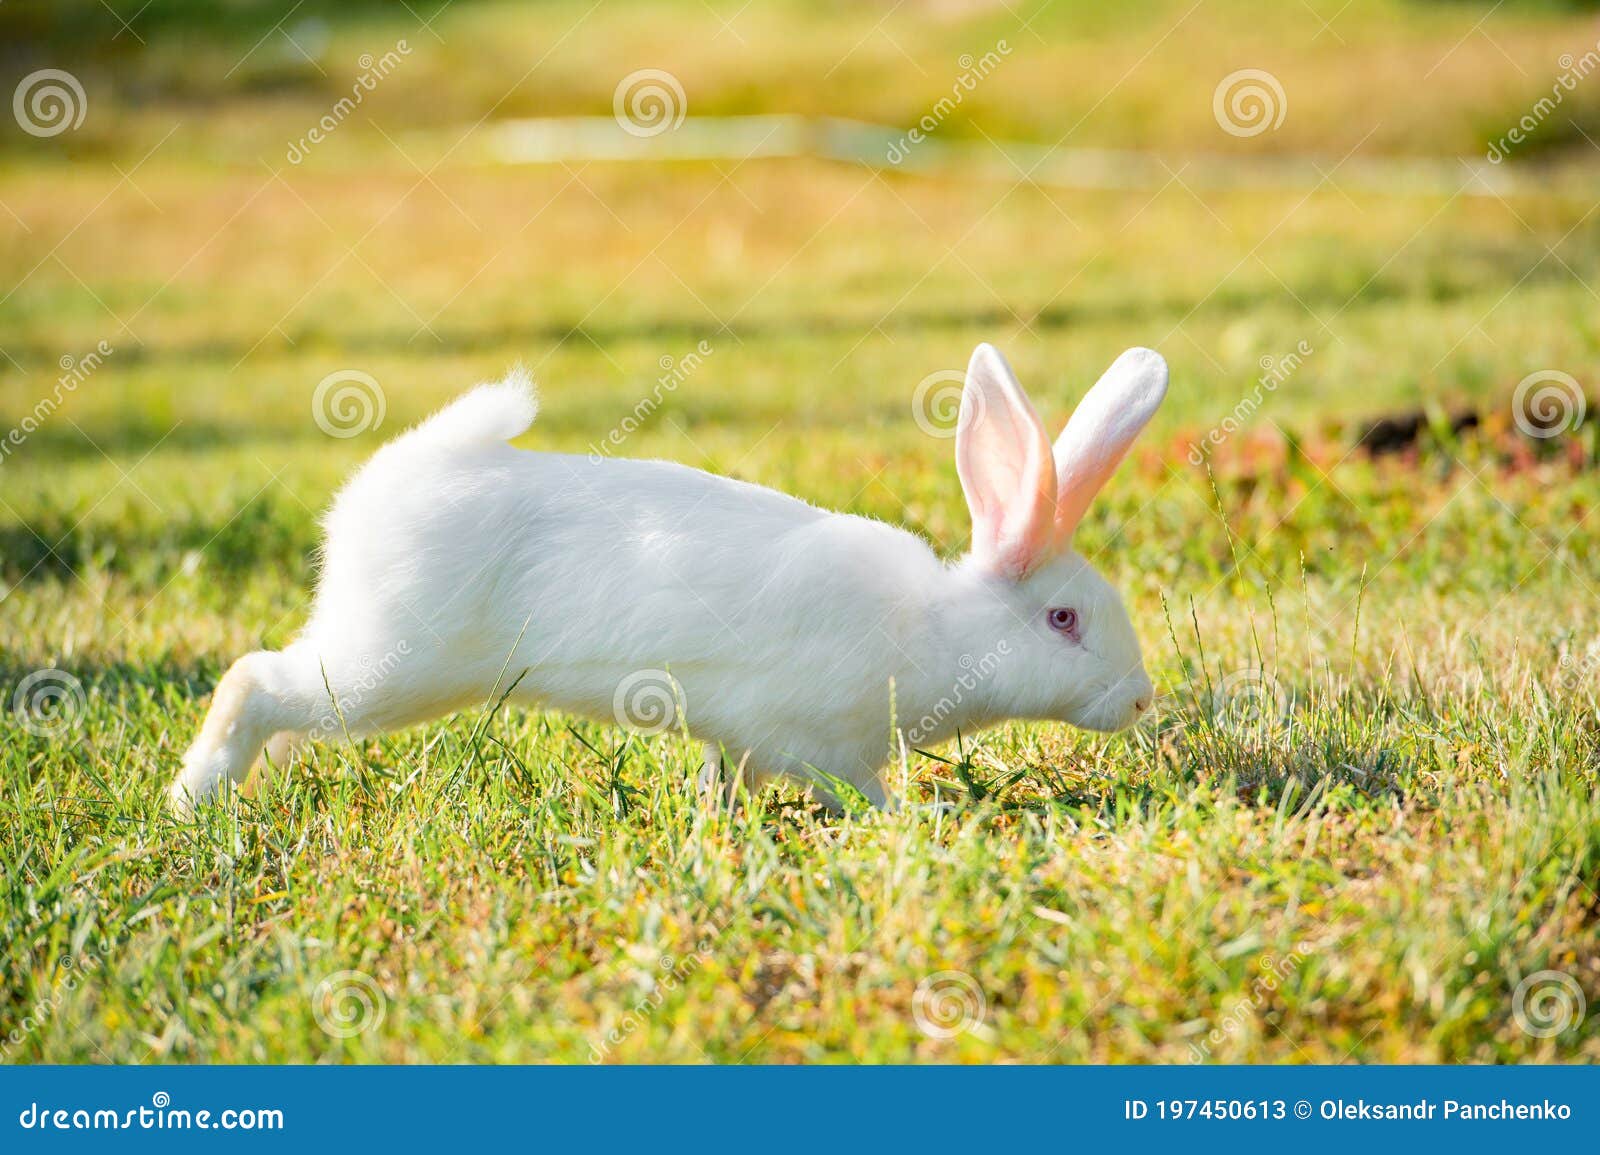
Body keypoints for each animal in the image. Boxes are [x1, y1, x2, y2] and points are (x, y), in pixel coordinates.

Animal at [169, 343, 1166, 816]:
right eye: (1064, 619)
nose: (1139, 698)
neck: (939, 627)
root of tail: (386, 489)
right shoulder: (814, 741)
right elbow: (858, 791)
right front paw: (909, 822)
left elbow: (726, 781)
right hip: (392, 666)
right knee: (251, 680)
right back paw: (194, 799)